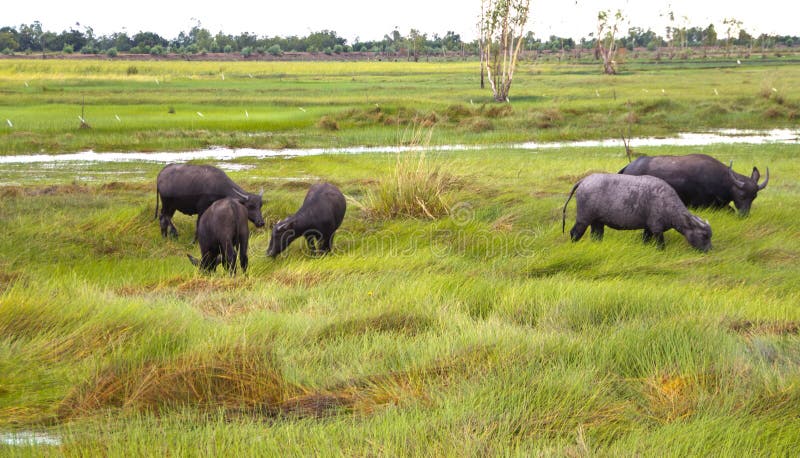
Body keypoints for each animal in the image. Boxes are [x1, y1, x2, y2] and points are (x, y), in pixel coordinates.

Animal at [562, 173, 712, 252]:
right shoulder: (656, 228)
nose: (710, 250)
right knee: (574, 233)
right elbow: (661, 244)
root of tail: (584, 180)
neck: (667, 204)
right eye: (704, 235)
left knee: (596, 236)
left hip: (597, 222)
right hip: (583, 219)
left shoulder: (648, 228)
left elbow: (645, 240)